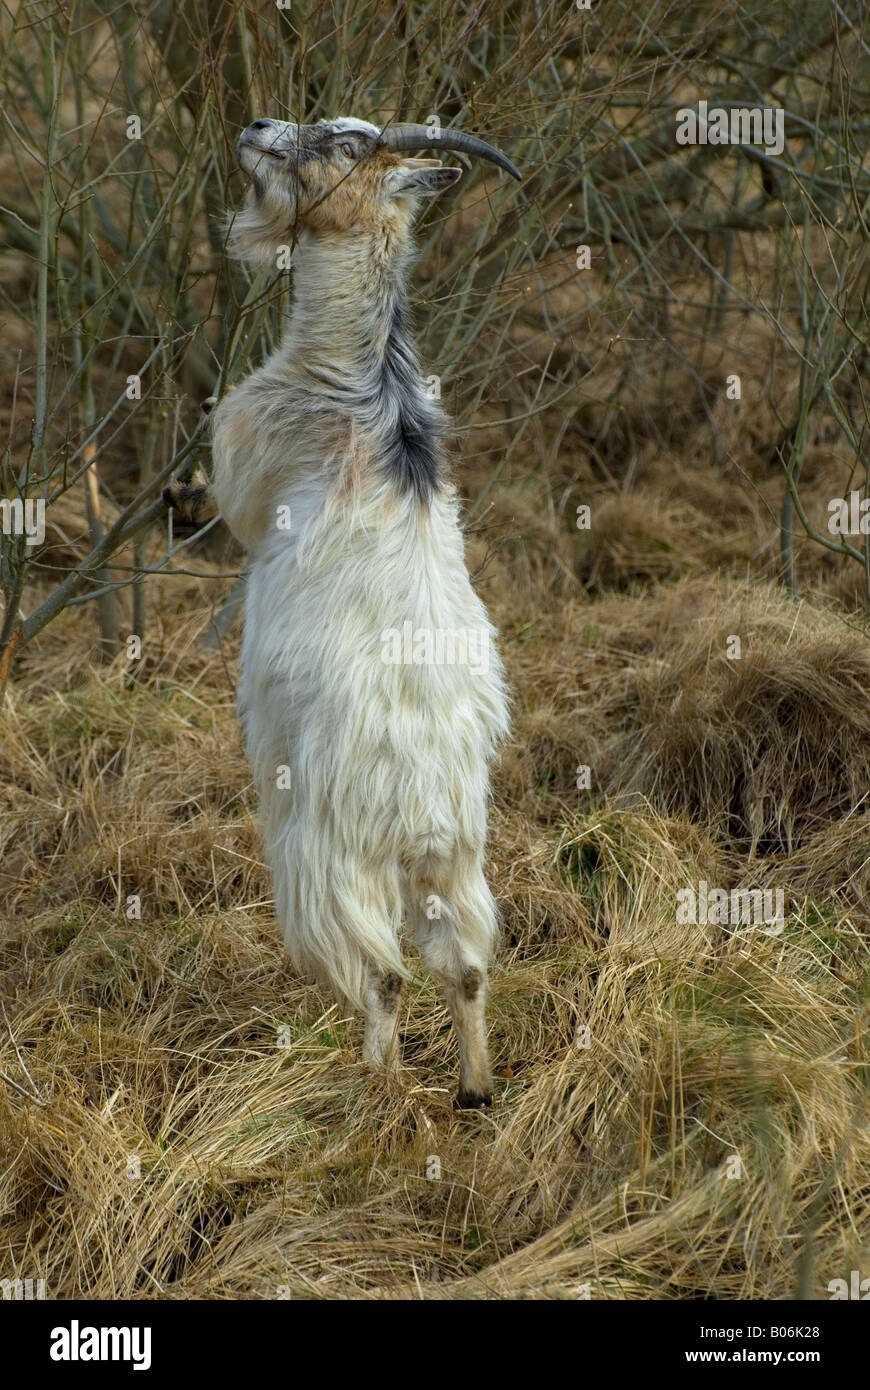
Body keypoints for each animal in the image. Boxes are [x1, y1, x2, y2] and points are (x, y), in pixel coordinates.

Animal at [166, 116, 519, 1107]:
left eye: (336, 143)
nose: (255, 128)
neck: (368, 380)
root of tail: (424, 797)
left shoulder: (252, 456)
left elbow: (234, 502)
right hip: (459, 861)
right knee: (465, 965)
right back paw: (474, 1087)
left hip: (327, 854)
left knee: (384, 972)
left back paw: (376, 1085)